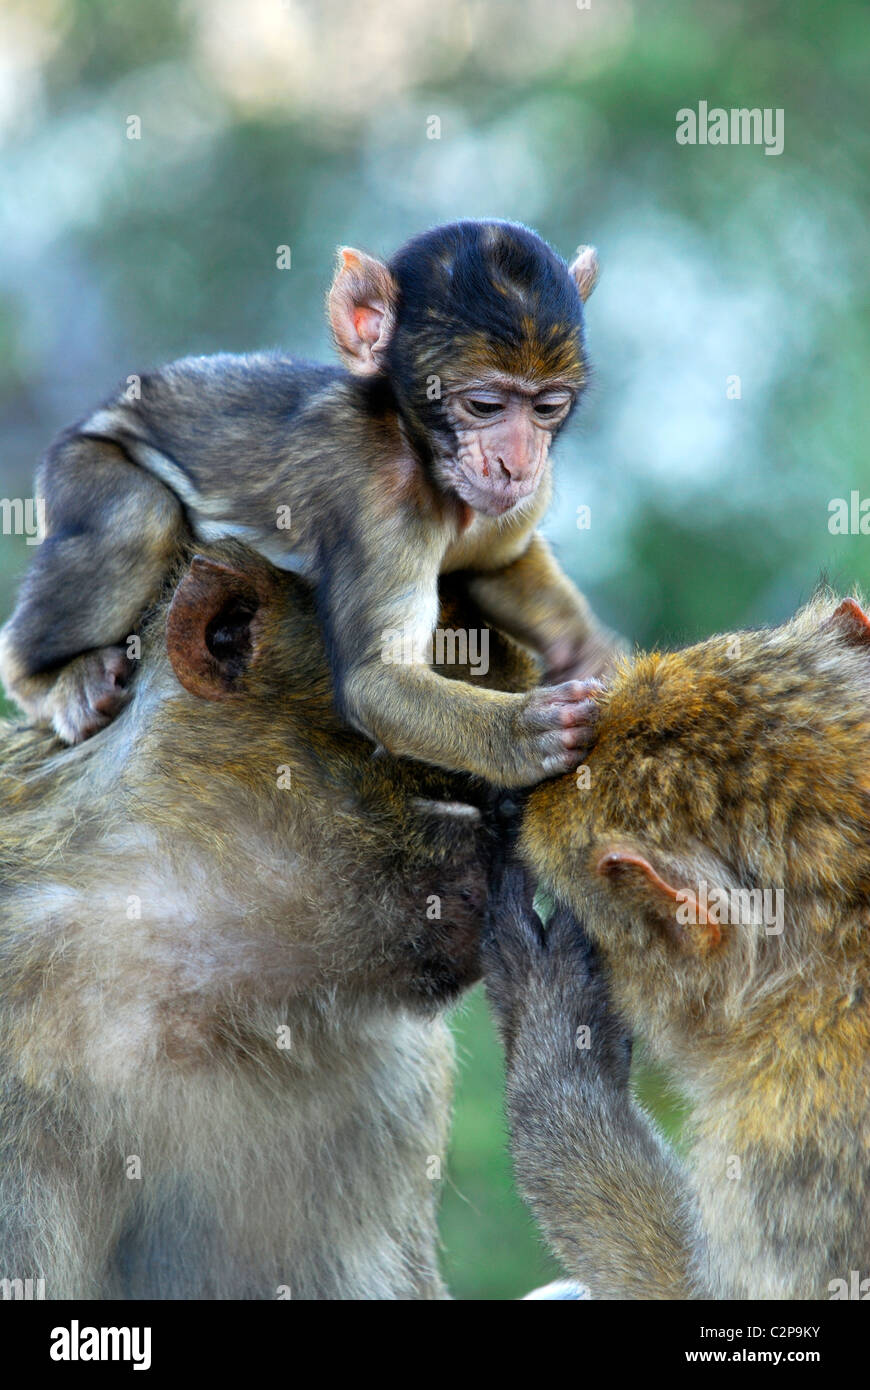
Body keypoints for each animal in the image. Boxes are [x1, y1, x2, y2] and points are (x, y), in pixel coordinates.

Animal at [0, 220, 616, 785]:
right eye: (485, 405)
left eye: (547, 407)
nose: (518, 465)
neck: (419, 449)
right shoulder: (378, 502)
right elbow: (376, 682)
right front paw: (524, 732)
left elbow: (502, 565)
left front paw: (585, 648)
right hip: (81, 460)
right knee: (137, 516)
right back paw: (51, 682)